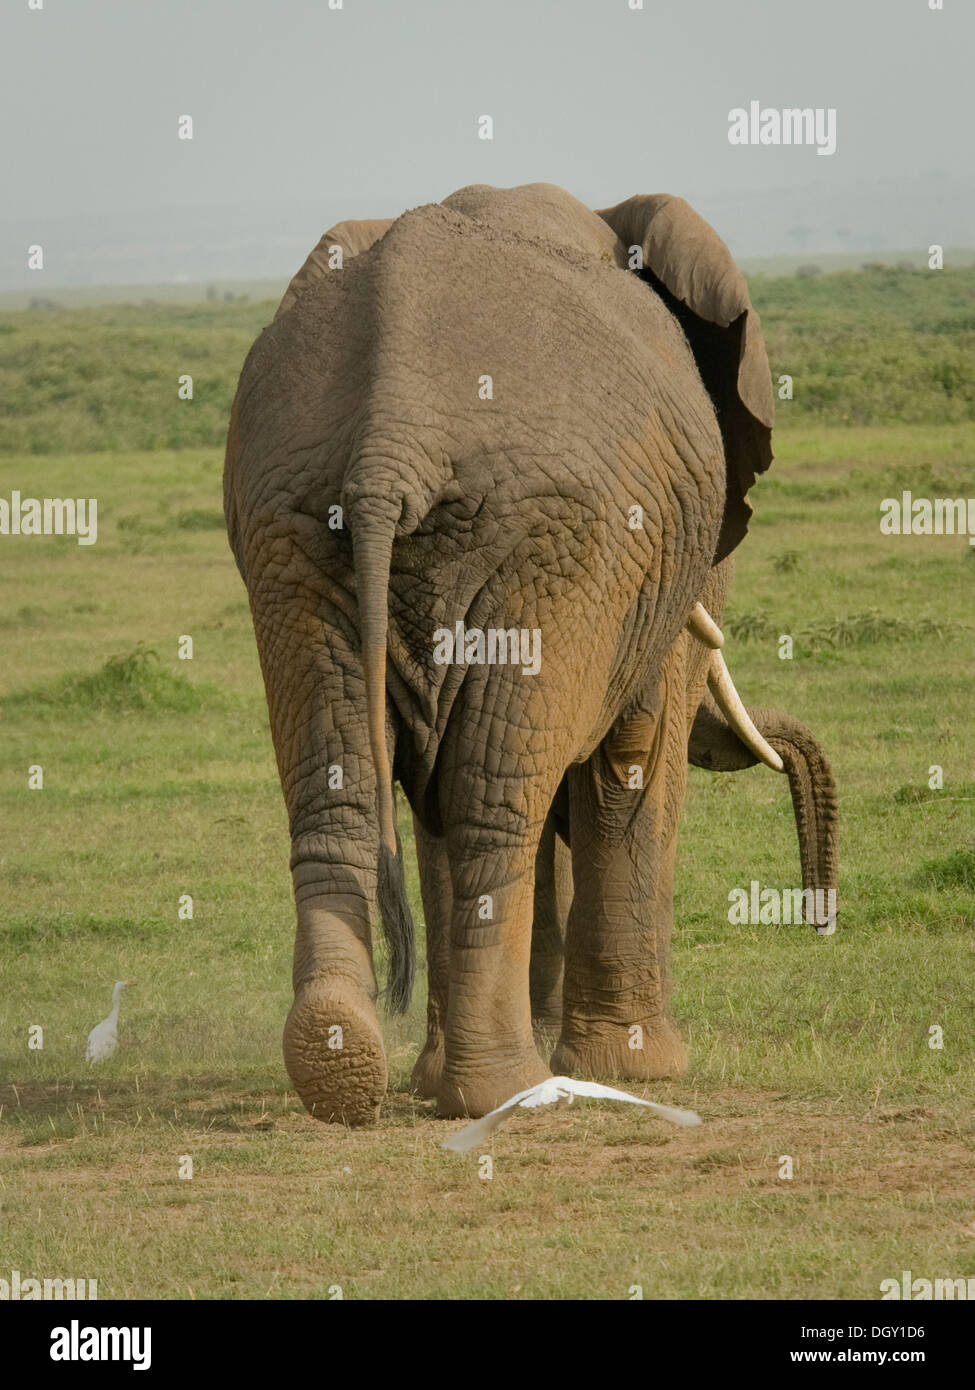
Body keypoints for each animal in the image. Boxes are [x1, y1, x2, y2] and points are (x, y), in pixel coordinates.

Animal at [223, 181, 838, 1127]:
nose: (819, 919)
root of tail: (388, 441)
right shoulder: (641, 569)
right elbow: (632, 761)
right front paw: (643, 1069)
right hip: (553, 544)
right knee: (489, 798)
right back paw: (507, 1091)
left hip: (292, 530)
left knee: (352, 790)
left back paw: (347, 1067)